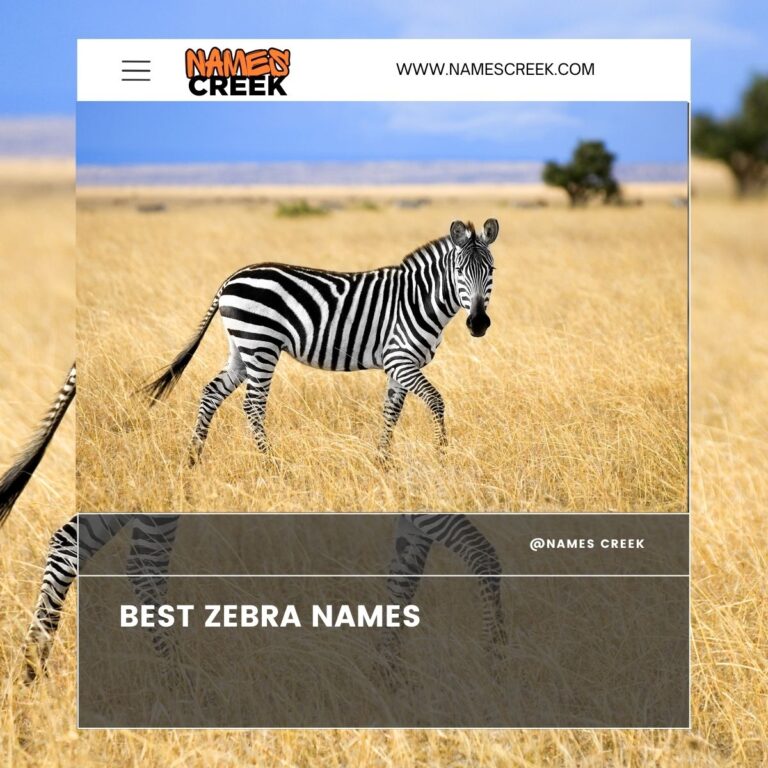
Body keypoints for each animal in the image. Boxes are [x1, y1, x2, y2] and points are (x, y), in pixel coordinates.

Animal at [141, 218, 499, 463]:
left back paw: (193, 457)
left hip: (242, 347)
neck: (417, 298)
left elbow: (391, 412)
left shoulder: (400, 366)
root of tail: (231, 278)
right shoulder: (400, 359)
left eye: (491, 270)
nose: (479, 323)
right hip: (261, 344)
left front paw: (383, 462)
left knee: (211, 393)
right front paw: (442, 456)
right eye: (459, 271)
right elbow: (436, 401)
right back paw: (270, 464)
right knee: (253, 405)